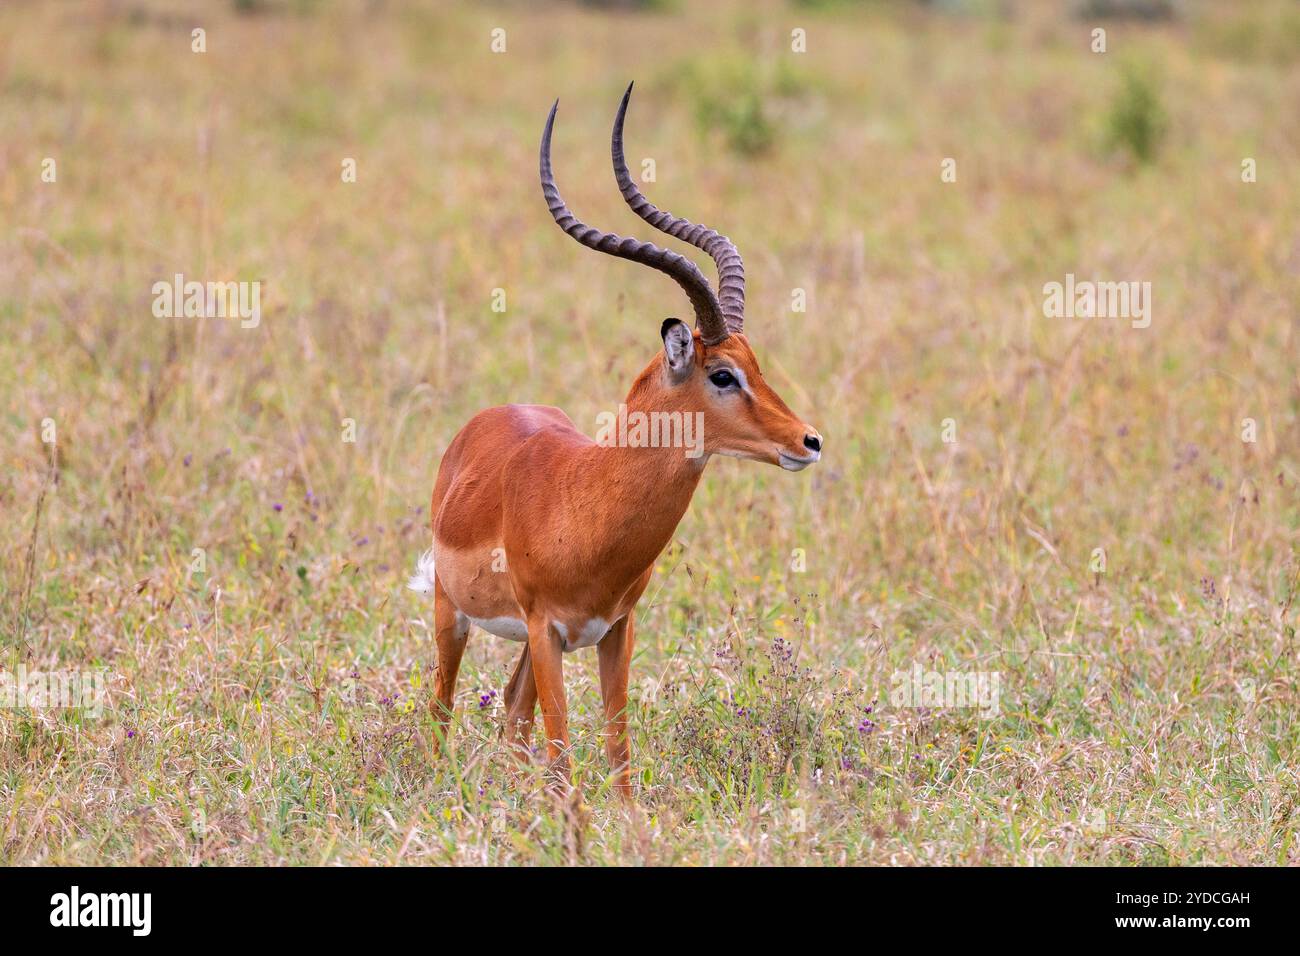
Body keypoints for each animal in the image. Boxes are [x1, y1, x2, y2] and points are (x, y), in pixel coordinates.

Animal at [408, 83, 822, 797]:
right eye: (722, 373)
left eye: (757, 363)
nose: (809, 440)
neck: (585, 500)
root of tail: (484, 421)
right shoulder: (547, 629)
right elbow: (565, 753)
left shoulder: (615, 630)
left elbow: (617, 752)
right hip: (450, 613)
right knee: (443, 708)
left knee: (511, 718)